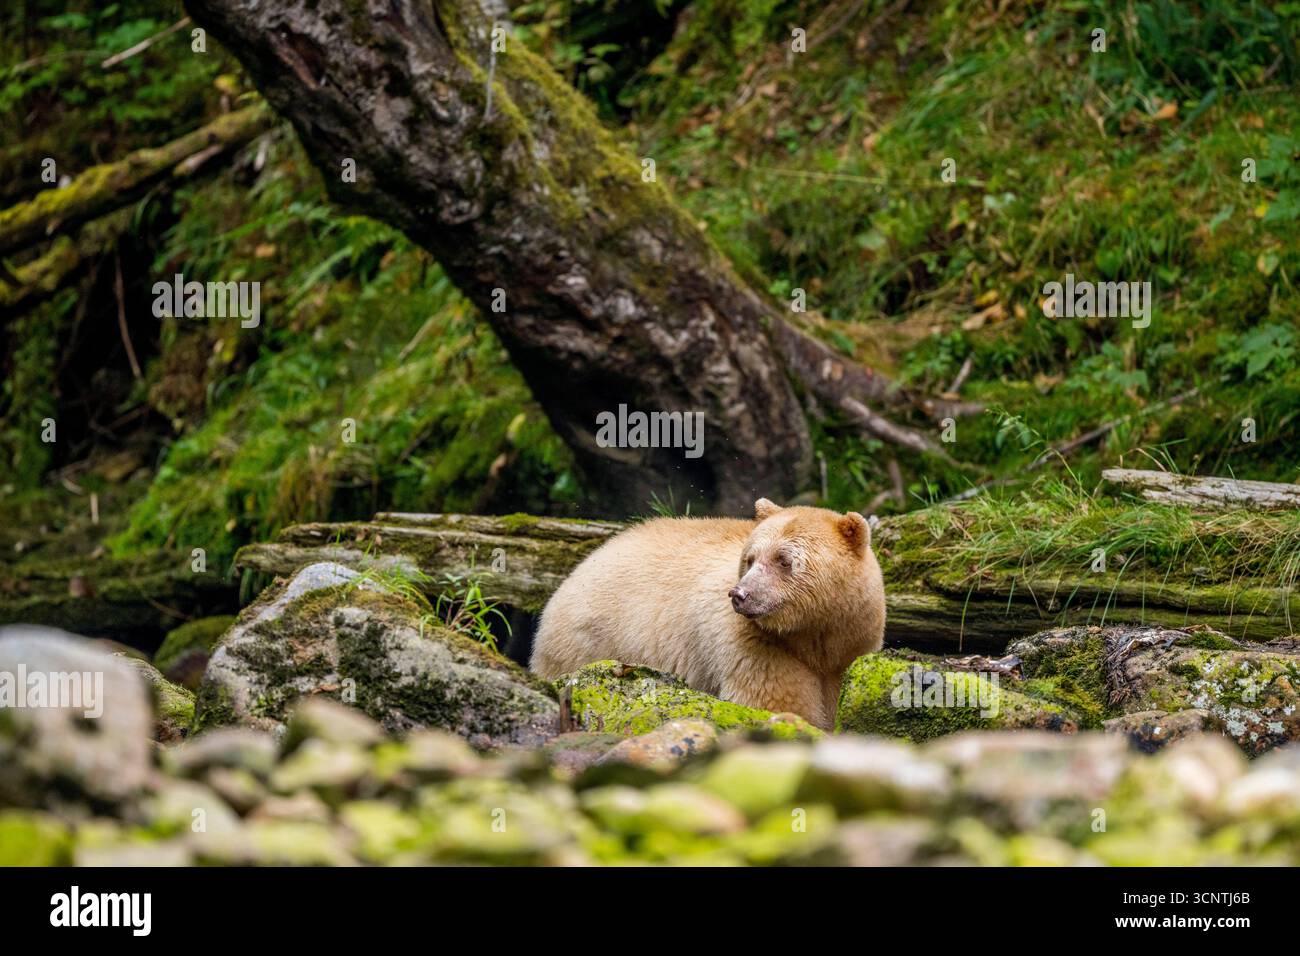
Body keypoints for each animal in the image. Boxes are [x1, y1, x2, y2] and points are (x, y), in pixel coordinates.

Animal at [529, 498, 885, 729]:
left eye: (784, 560)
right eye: (750, 558)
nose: (740, 594)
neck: (811, 634)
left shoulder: (849, 646)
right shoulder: (753, 644)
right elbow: (776, 701)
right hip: (586, 641)